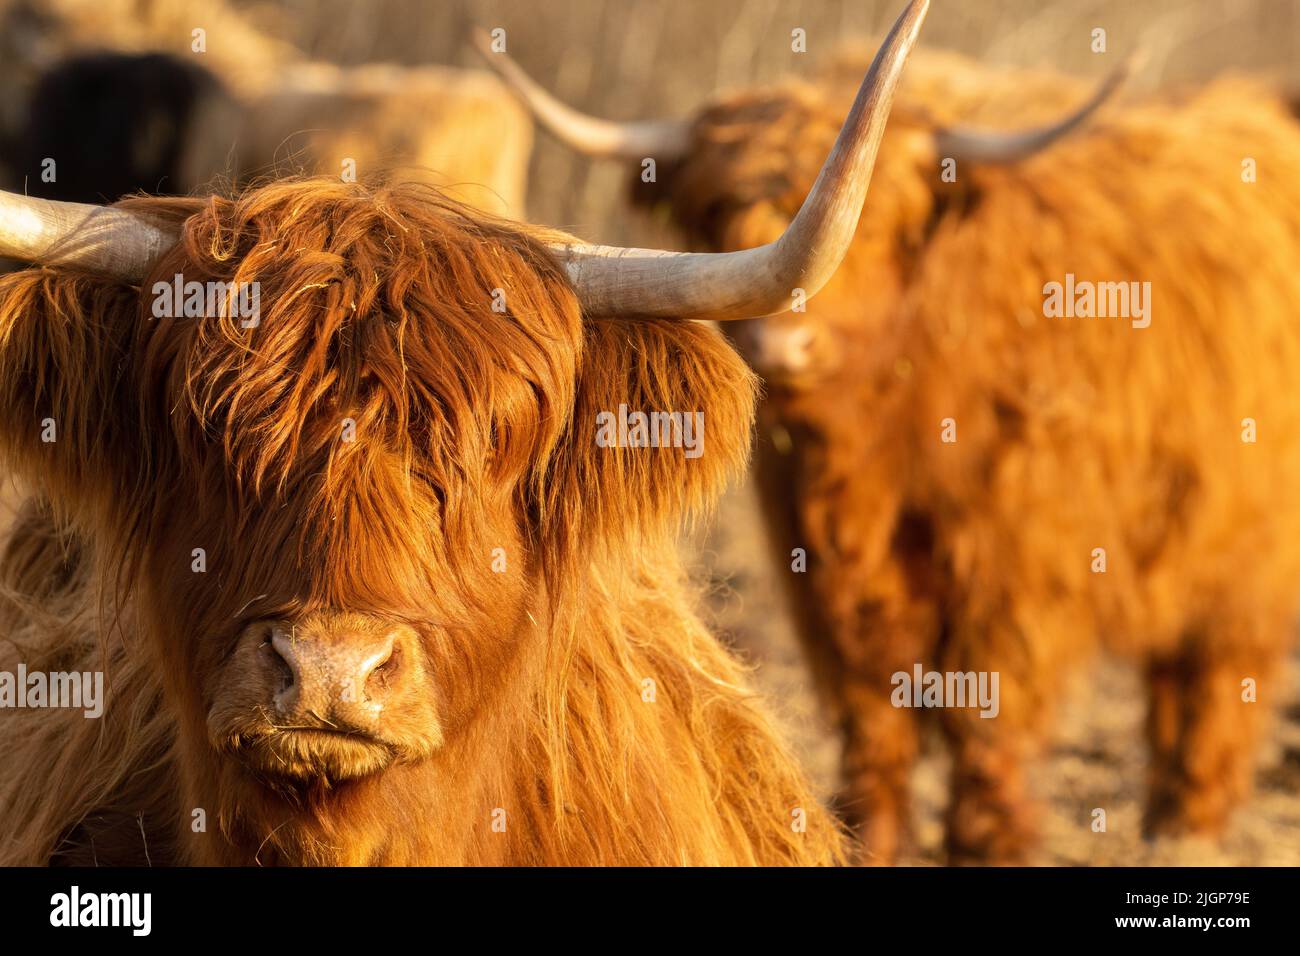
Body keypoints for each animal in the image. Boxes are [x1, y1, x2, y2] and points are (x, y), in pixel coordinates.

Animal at [484, 36, 1300, 863]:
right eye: (717, 214)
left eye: (873, 223)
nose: (784, 345)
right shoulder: (827, 567)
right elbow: (871, 698)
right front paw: (869, 834)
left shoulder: (1018, 566)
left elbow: (988, 704)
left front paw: (986, 840)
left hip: (1250, 556)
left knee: (1218, 681)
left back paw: (1188, 825)